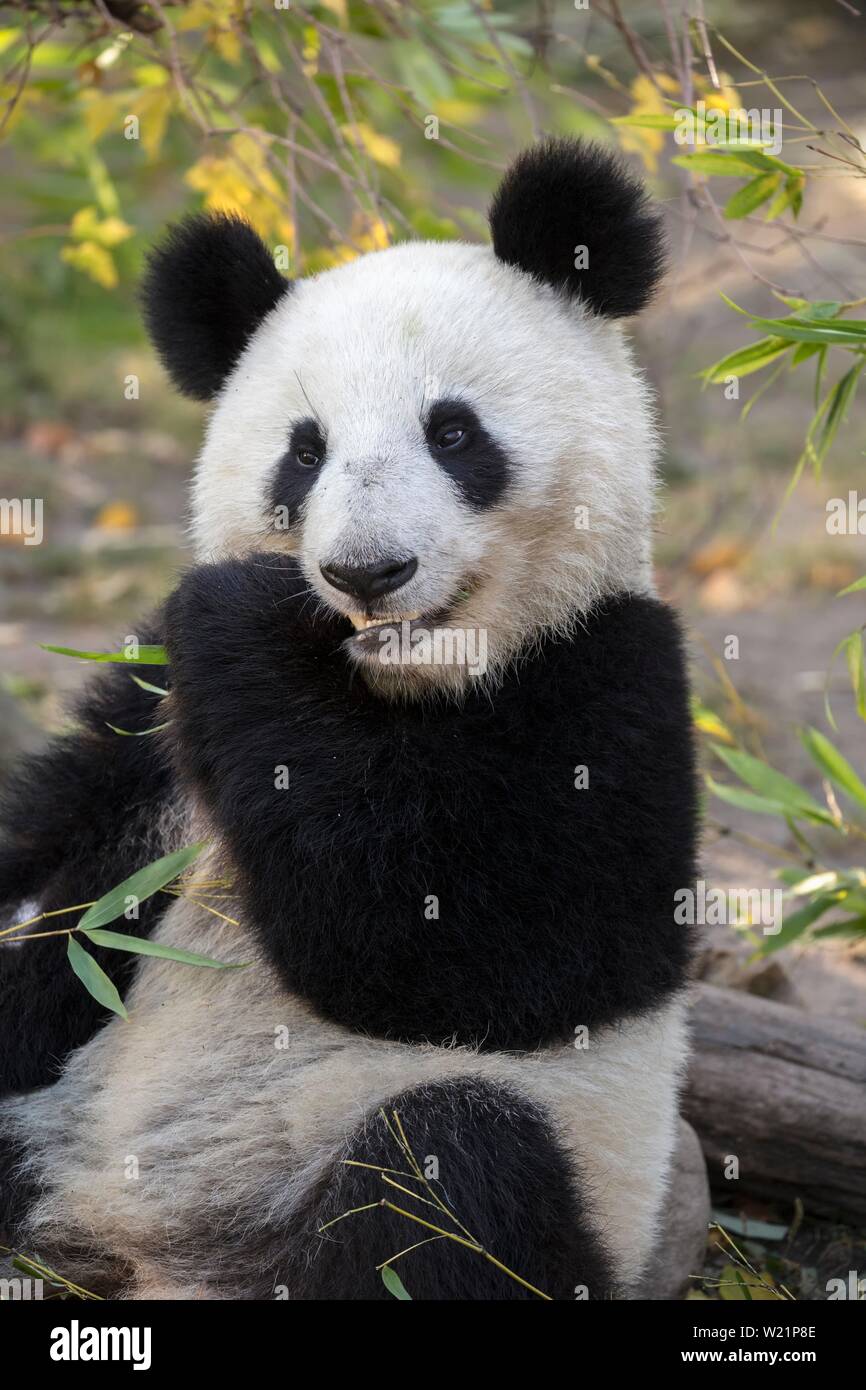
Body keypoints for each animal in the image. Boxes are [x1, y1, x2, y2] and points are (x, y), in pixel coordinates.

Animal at [0, 139, 697, 1301]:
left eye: (453, 433)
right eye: (304, 451)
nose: (367, 573)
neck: (388, 687)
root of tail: (142, 1258)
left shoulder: (607, 676)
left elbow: (470, 944)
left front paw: (240, 620)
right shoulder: (146, 729)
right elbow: (58, 860)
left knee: (449, 1169)